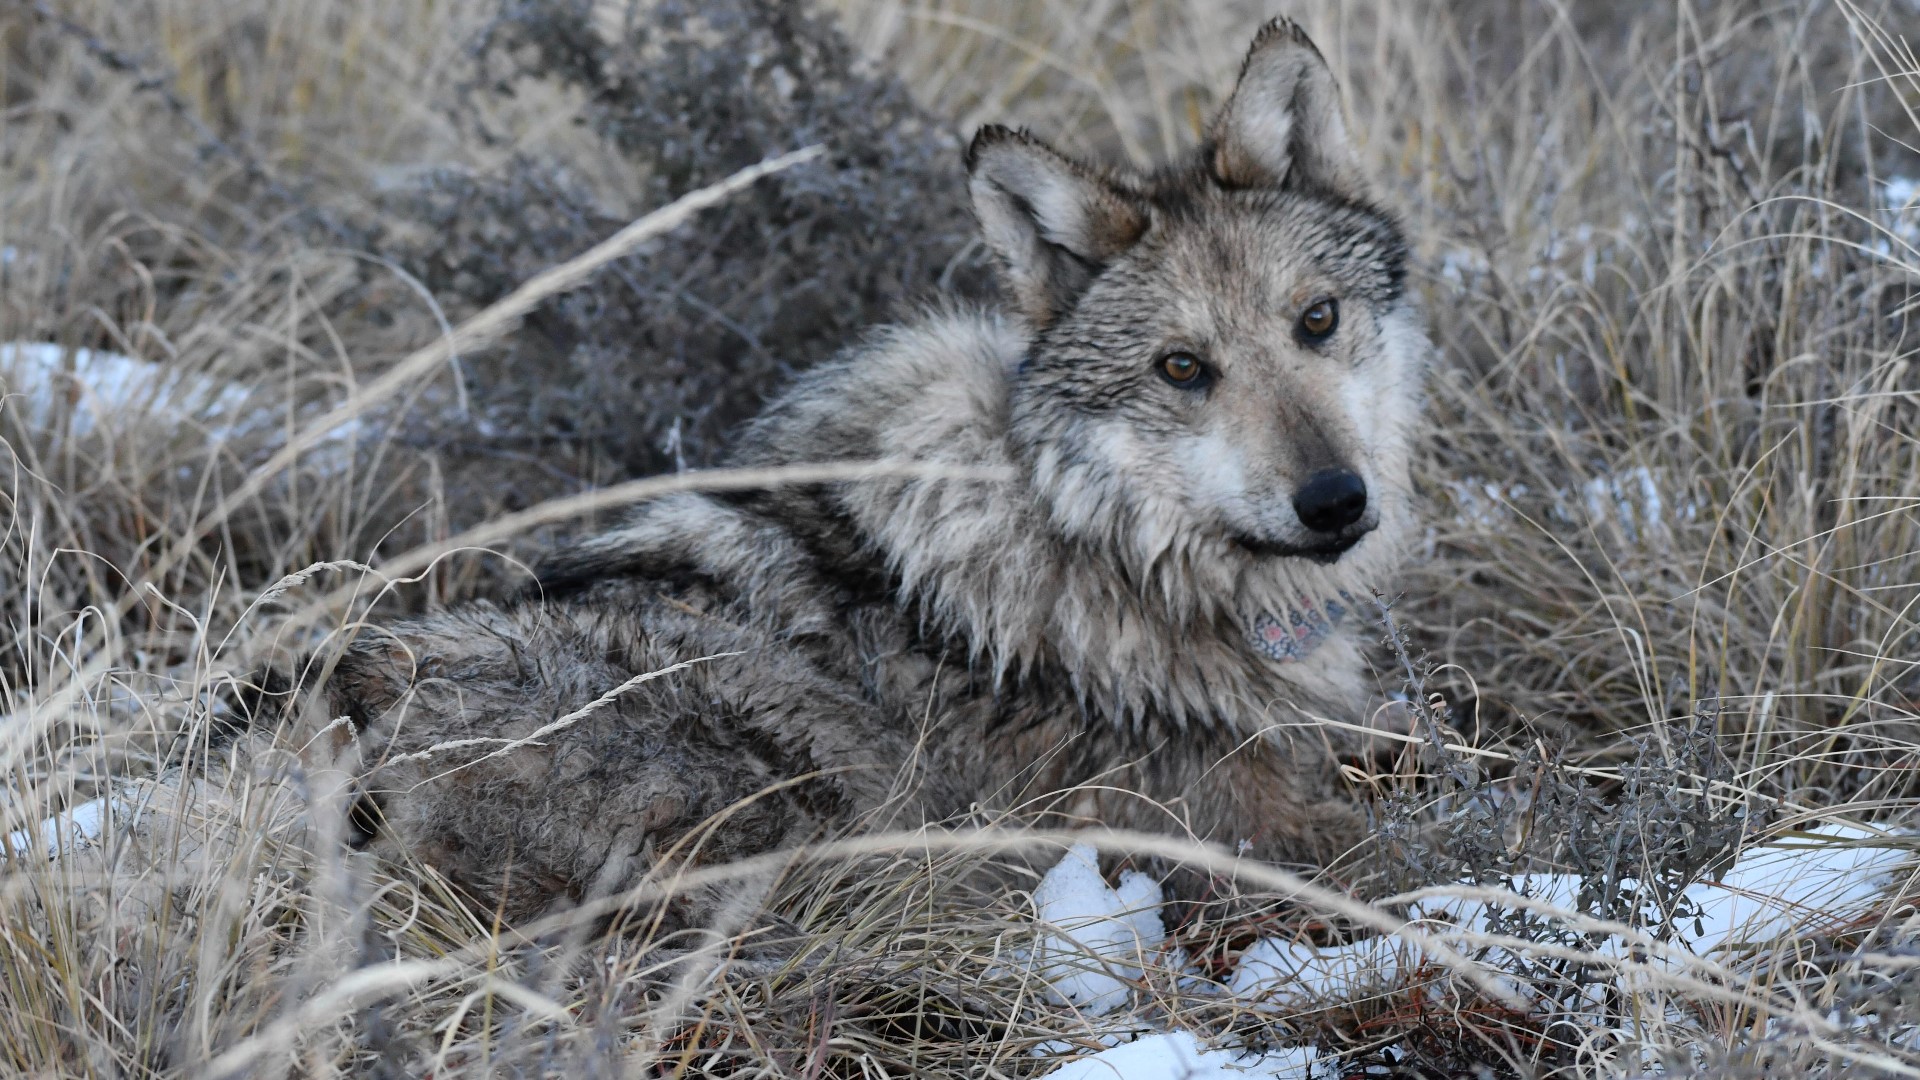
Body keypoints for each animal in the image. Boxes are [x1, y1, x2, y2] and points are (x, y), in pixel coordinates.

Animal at [300, 19, 1431, 924]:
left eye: (1316, 320)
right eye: (1183, 368)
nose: (1335, 500)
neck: (1099, 546)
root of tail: (362, 699)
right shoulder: (1236, 830)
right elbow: (1408, 846)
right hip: (817, 780)